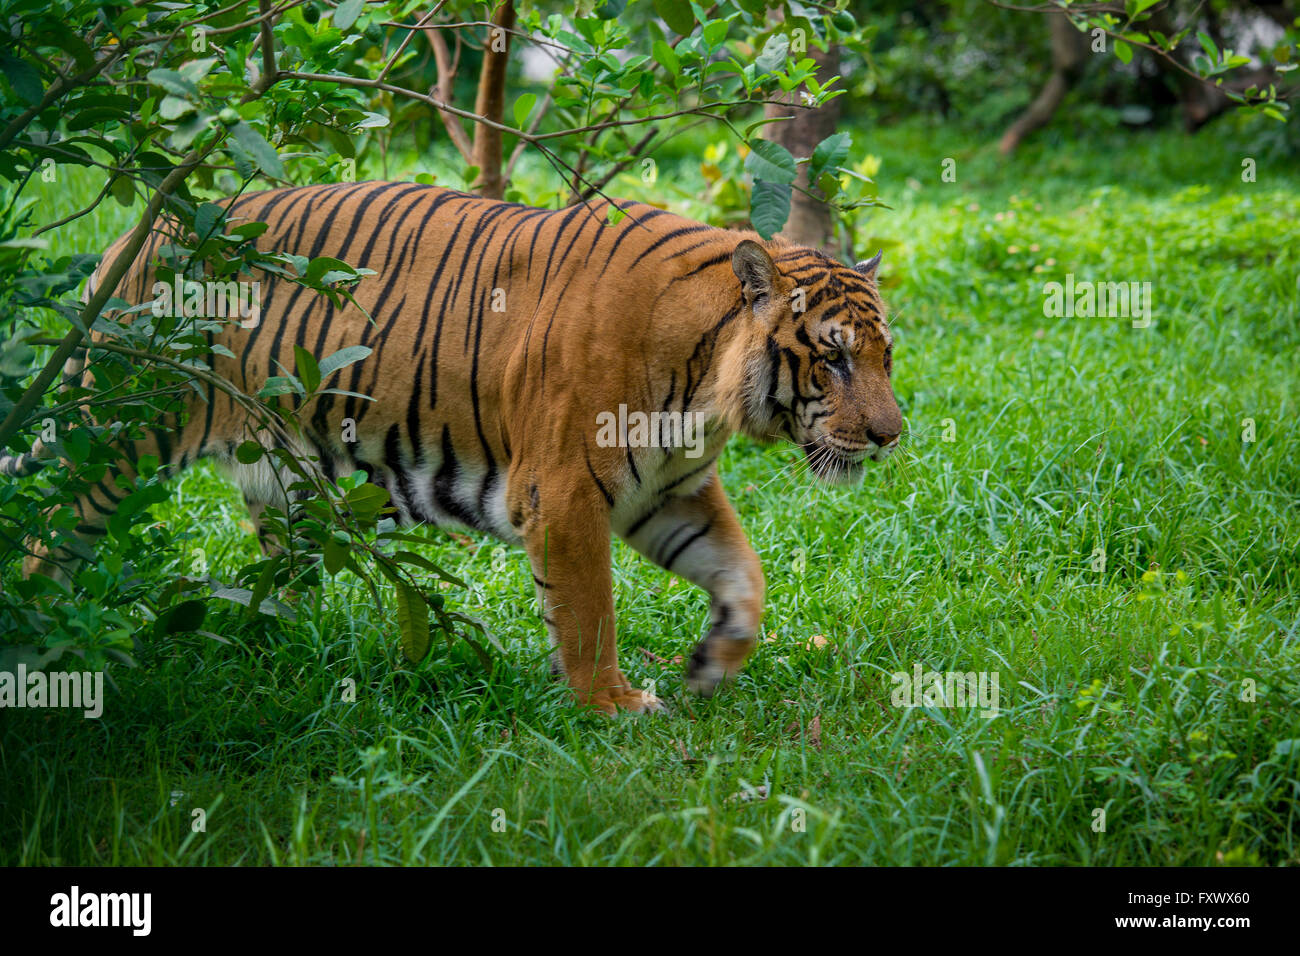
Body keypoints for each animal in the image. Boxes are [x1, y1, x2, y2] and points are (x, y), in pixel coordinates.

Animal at [8, 181, 904, 715]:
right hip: (116, 439)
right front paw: (610, 704)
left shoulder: (672, 491)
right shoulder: (563, 492)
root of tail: (141, 228)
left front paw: (715, 659)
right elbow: (590, 613)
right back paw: (42, 642)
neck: (706, 390)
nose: (892, 436)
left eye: (884, 356)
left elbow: (743, 572)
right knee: (45, 539)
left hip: (284, 488)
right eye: (833, 357)